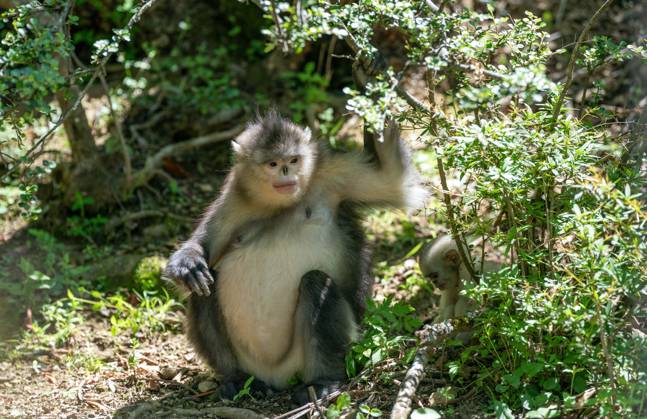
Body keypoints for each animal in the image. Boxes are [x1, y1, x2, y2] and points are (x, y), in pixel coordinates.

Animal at [163, 111, 427, 403]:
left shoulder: (333, 173)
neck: (278, 205)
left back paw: (322, 381)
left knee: (315, 282)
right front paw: (186, 263)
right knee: (204, 289)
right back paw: (237, 379)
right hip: (248, 360)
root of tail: (275, 377)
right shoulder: (233, 200)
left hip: (304, 358)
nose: (285, 171)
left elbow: (393, 182)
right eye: (273, 163)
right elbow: (203, 250)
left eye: (293, 160)